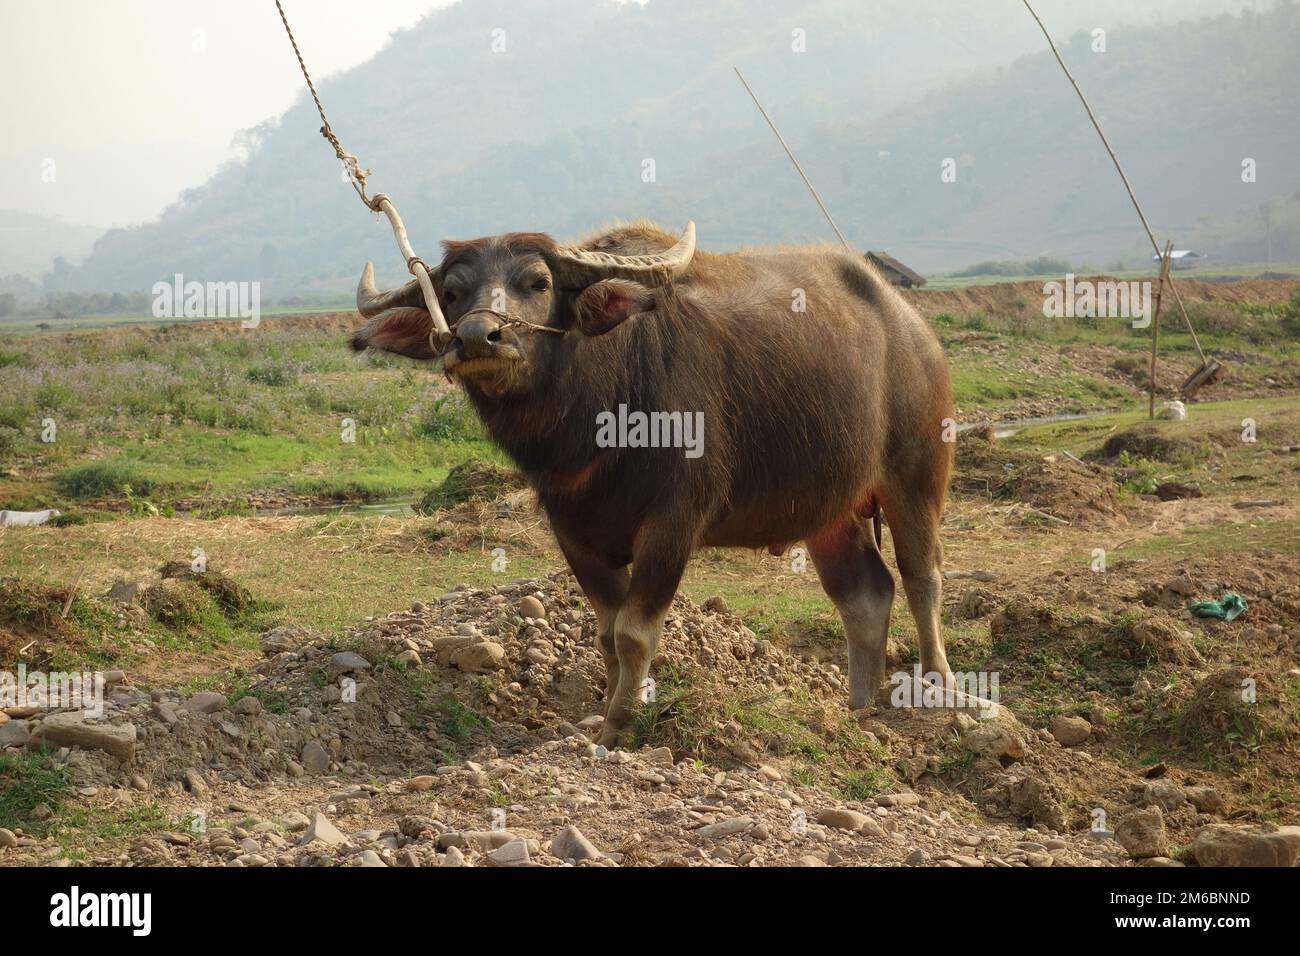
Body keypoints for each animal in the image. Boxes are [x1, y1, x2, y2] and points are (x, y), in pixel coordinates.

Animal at [351, 221, 954, 746]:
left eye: (538, 283)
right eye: (452, 292)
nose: (479, 337)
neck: (599, 416)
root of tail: (912, 326)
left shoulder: (672, 523)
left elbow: (634, 633)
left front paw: (621, 726)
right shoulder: (573, 532)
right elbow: (606, 635)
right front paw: (604, 714)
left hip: (916, 473)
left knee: (921, 576)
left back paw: (938, 690)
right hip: (833, 510)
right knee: (864, 594)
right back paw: (859, 709)